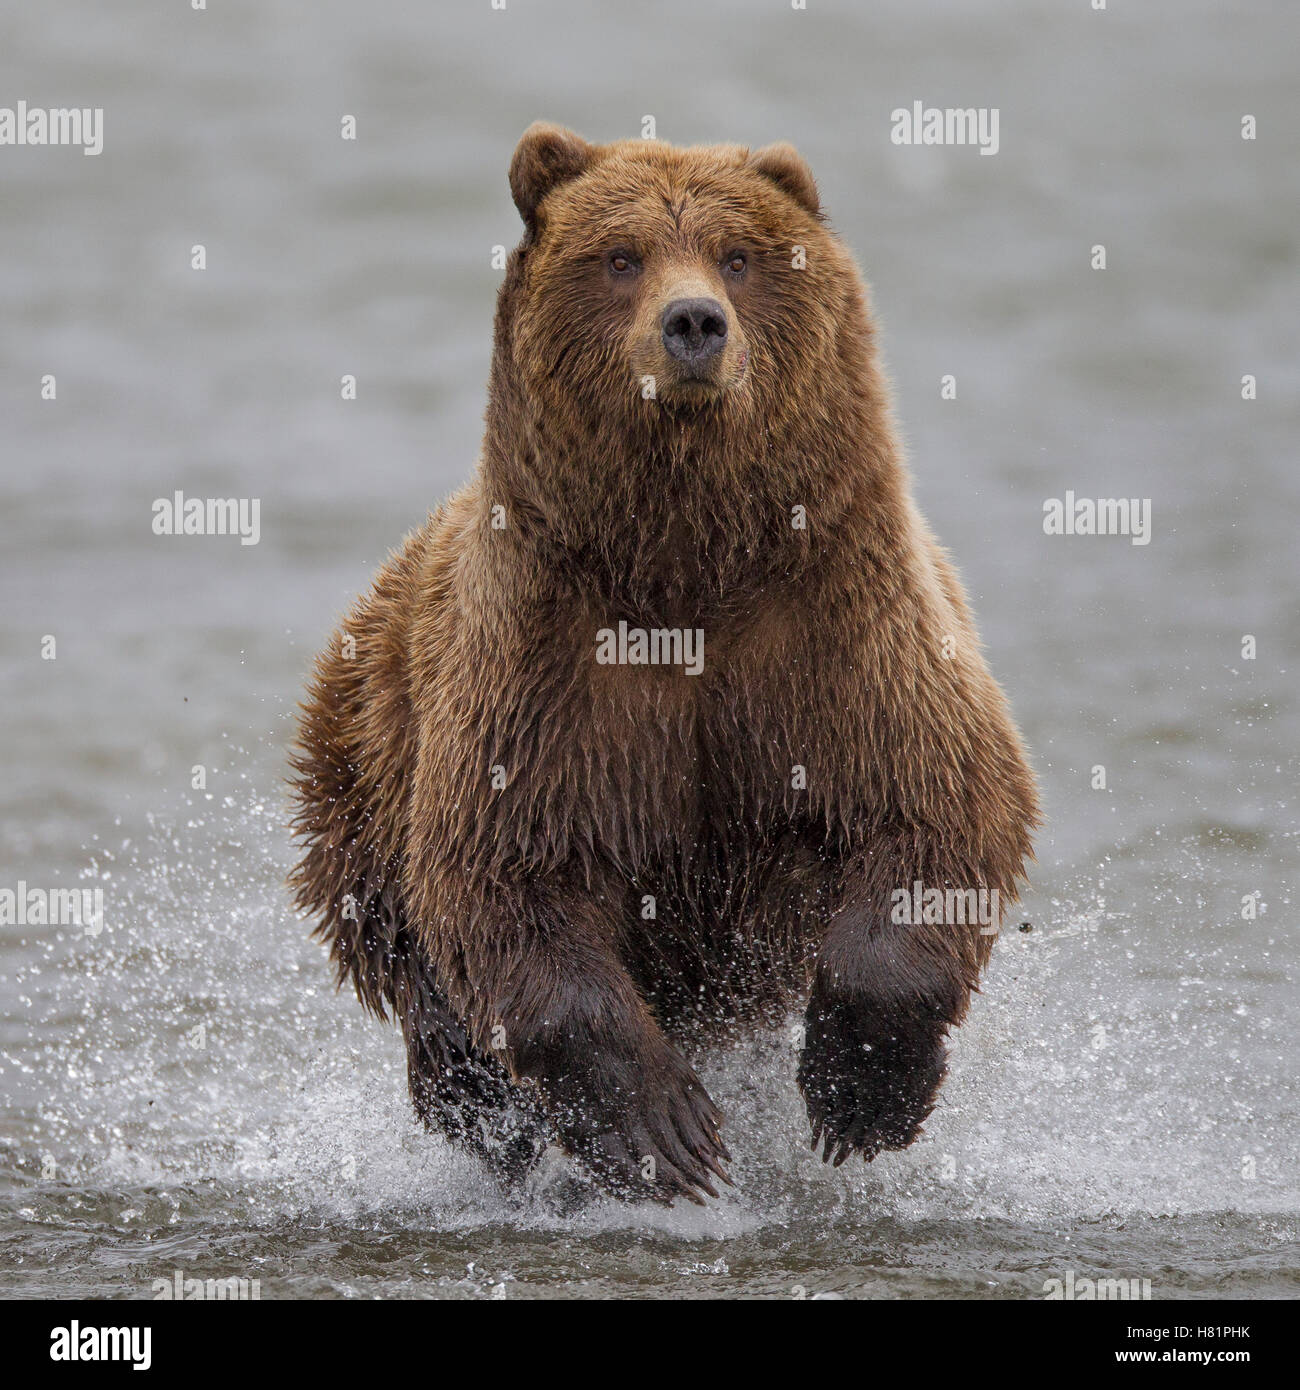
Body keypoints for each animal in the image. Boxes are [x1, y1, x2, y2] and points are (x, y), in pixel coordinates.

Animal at [289, 123, 1038, 1204]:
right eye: (620, 256)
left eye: (739, 254)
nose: (694, 323)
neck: (690, 568)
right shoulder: (548, 675)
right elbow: (509, 880)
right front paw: (666, 1131)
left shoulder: (843, 639)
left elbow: (936, 815)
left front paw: (857, 1092)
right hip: (360, 774)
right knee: (424, 981)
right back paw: (491, 1116)